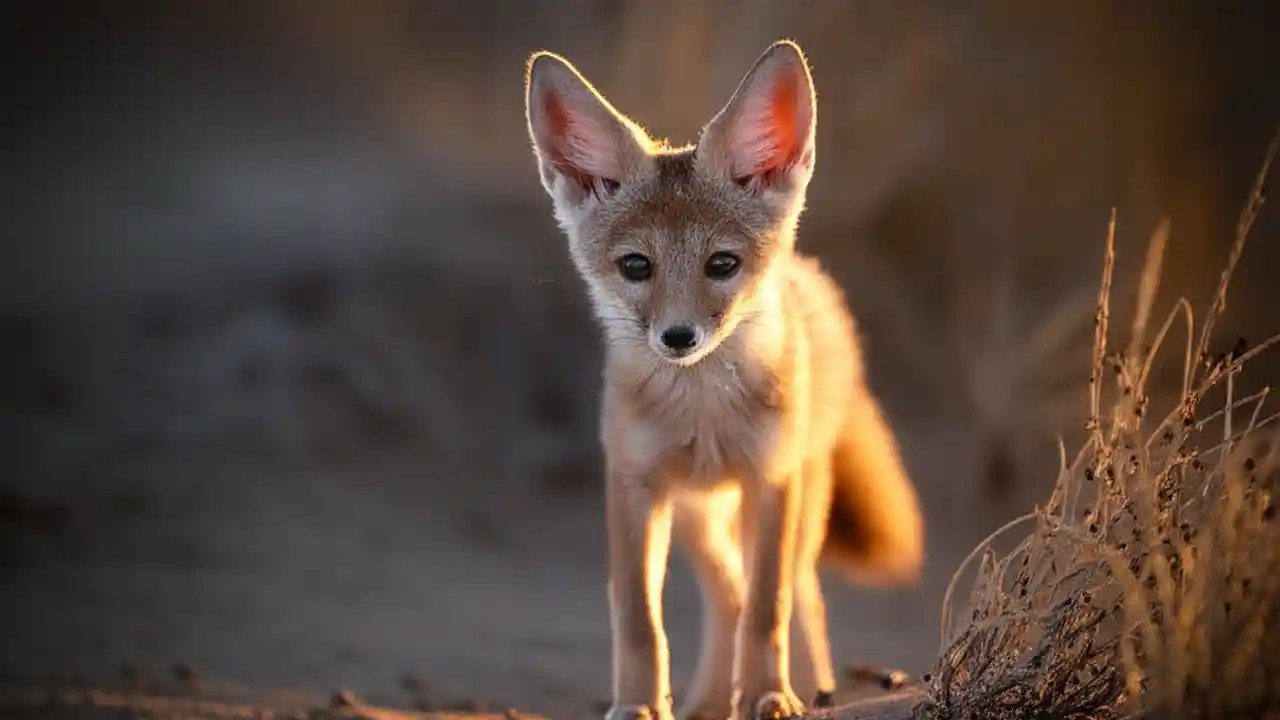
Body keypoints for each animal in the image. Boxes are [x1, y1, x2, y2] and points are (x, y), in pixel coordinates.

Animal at [523, 40, 924, 720]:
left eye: (722, 264)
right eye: (636, 266)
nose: (678, 338)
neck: (701, 410)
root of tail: (810, 276)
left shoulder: (771, 481)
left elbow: (768, 610)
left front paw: (769, 693)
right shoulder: (635, 485)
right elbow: (641, 619)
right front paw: (638, 704)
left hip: (796, 502)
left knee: (795, 594)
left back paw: (807, 686)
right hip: (699, 516)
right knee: (726, 596)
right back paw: (710, 700)